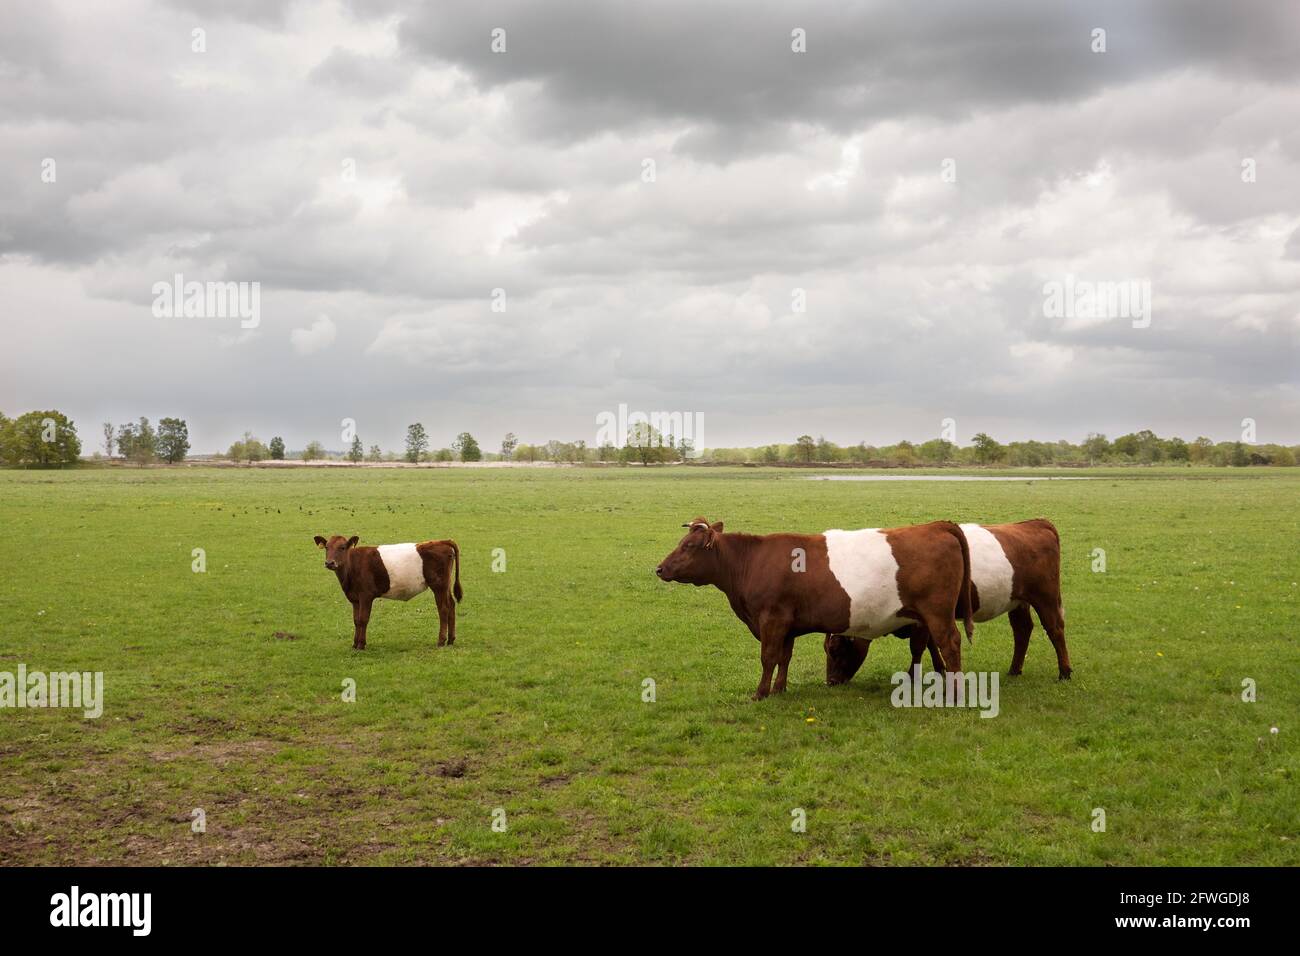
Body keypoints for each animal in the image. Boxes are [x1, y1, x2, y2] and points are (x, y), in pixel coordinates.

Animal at [313, 535, 463, 650]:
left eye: (342, 547)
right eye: (326, 547)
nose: (329, 563)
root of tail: (442, 541)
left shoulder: (366, 596)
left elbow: (363, 619)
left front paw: (361, 645)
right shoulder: (355, 599)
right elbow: (356, 620)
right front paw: (355, 644)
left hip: (439, 585)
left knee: (443, 609)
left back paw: (441, 641)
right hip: (445, 585)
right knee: (451, 605)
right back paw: (451, 640)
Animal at [655, 517, 973, 699]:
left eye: (689, 546)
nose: (659, 568)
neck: (752, 561)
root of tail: (936, 526)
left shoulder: (771, 619)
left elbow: (768, 657)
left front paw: (760, 693)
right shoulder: (787, 625)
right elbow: (784, 657)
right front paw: (779, 689)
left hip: (937, 614)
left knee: (950, 644)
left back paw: (955, 693)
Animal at [825, 518, 1070, 684]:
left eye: (836, 649)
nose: (831, 682)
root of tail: (1035, 523)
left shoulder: (922, 618)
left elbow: (918, 647)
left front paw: (913, 676)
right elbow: (932, 645)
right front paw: (940, 669)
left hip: (1045, 597)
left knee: (1055, 629)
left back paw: (1065, 672)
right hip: (1018, 601)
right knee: (1022, 630)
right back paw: (1014, 670)